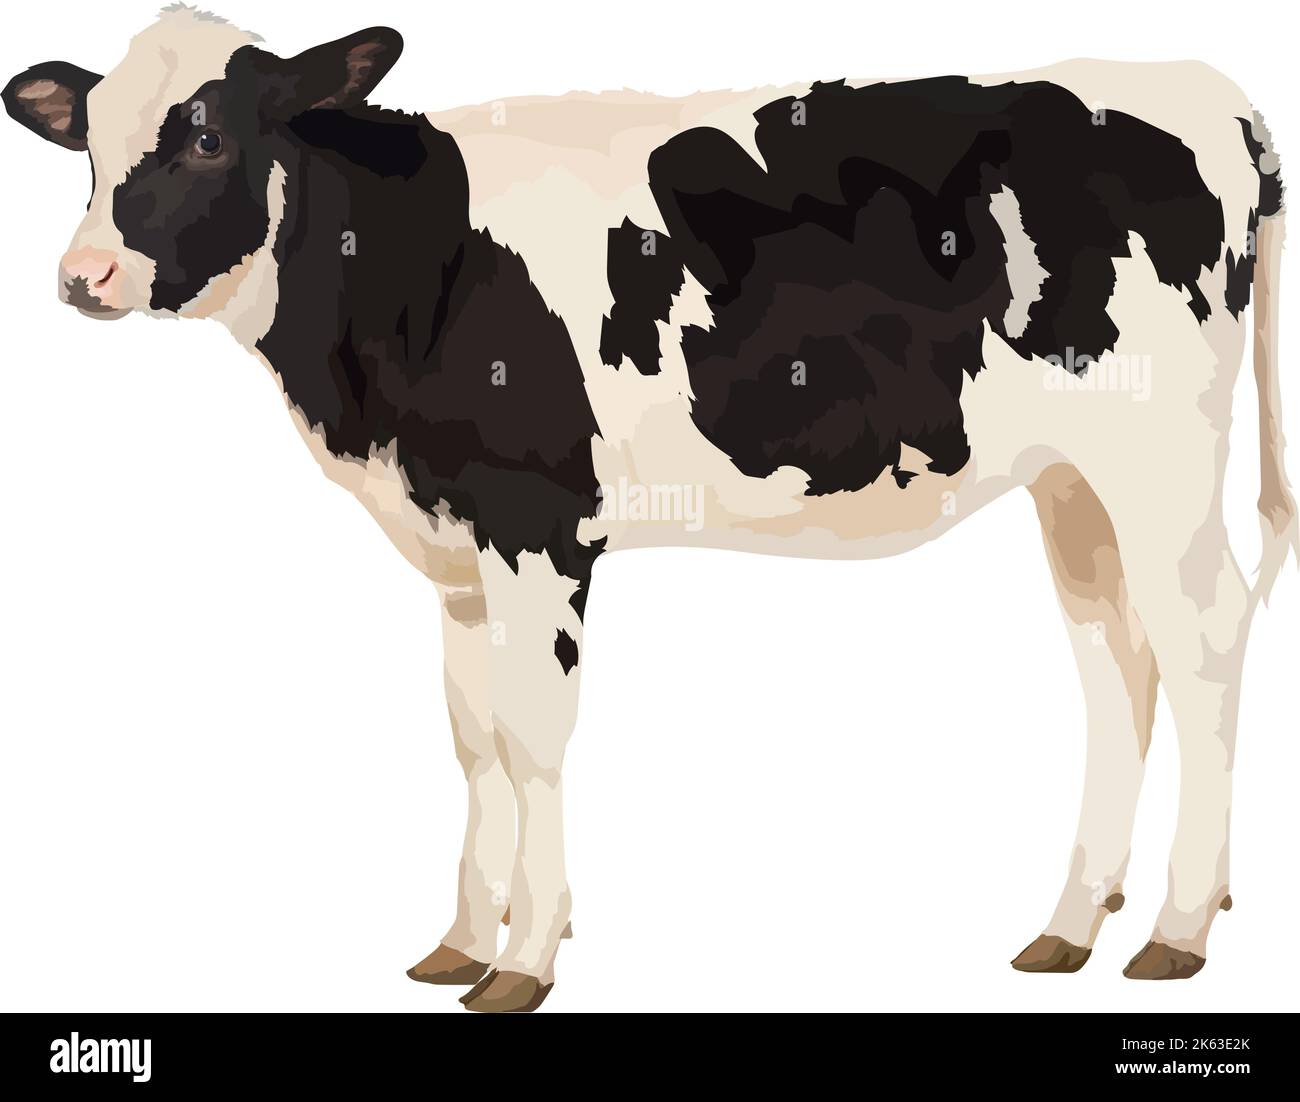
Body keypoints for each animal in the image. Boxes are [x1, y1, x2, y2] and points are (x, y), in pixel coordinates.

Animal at [3, 4, 1293, 1012]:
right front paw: (458, 940)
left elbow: (531, 733)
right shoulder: (456, 551)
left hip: (1162, 460)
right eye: (89, 147)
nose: (82, 276)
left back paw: (1177, 928)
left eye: (206, 136)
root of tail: (1213, 93)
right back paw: (1071, 924)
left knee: (1203, 644)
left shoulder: (535, 522)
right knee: (1117, 664)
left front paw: (523, 958)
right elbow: (470, 737)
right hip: (1074, 482)